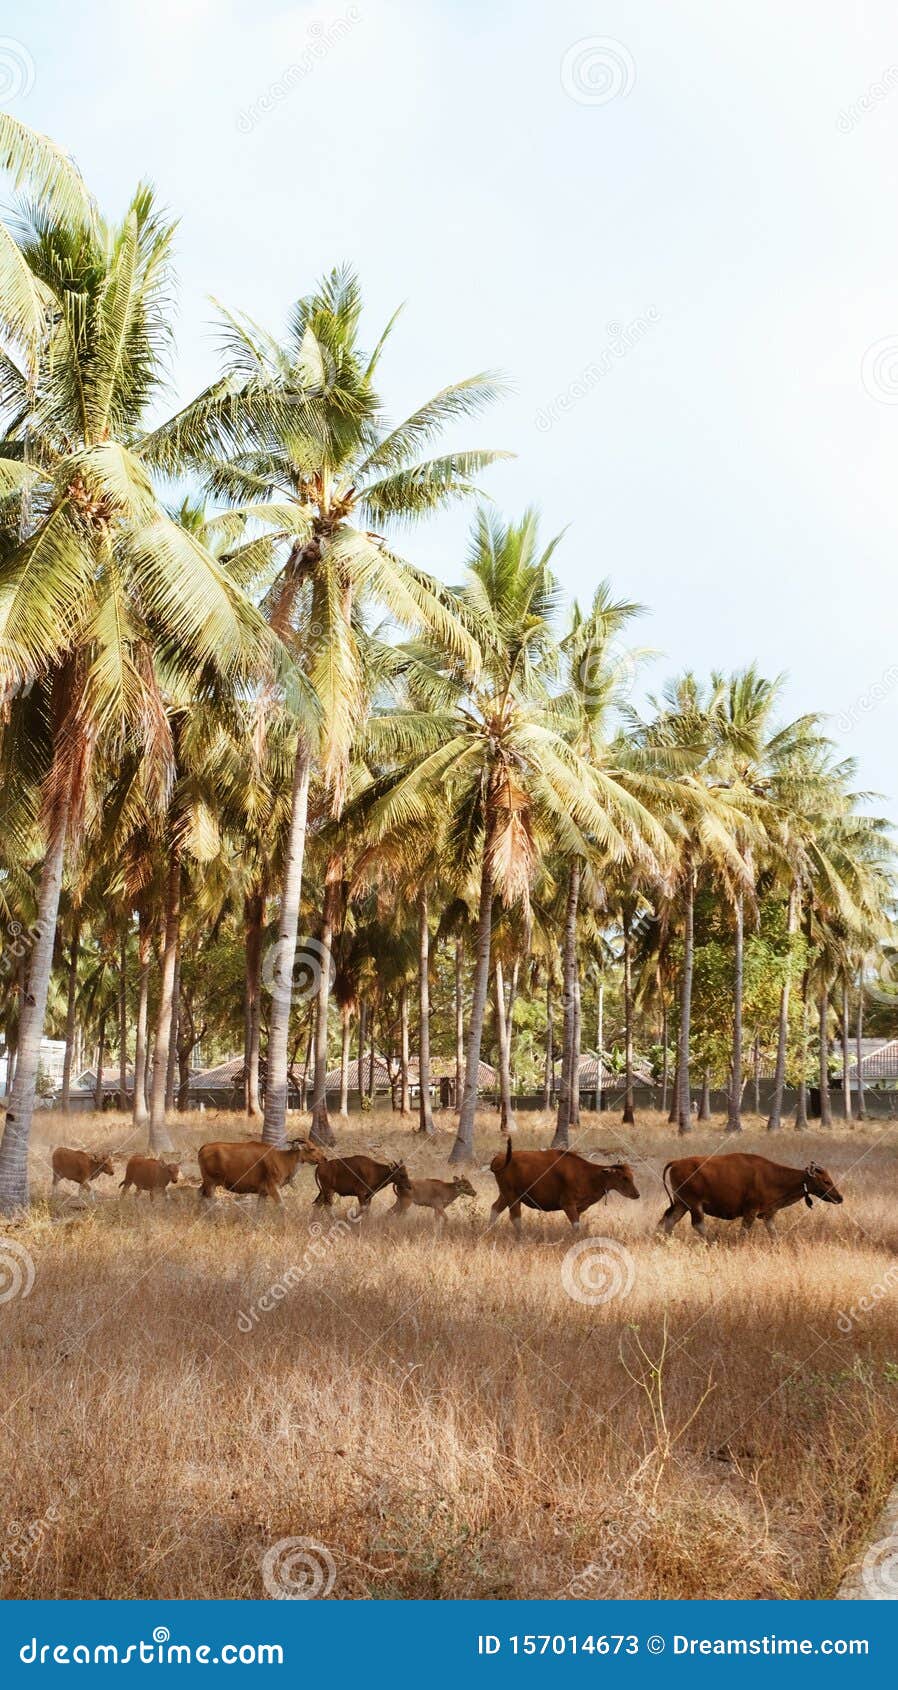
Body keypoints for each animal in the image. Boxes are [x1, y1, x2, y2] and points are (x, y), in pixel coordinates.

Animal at [489, 1140, 640, 1232]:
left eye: (632, 1176)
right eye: (624, 1178)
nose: (637, 1194)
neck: (588, 1175)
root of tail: (499, 1158)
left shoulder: (579, 1208)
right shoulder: (567, 1204)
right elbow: (576, 1226)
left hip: (505, 1194)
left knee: (495, 1208)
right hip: (513, 1196)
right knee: (515, 1218)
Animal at [659, 1152, 844, 1242]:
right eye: (826, 1181)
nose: (840, 1197)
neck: (772, 1176)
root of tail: (676, 1162)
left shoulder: (769, 1214)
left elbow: (774, 1234)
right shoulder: (750, 1211)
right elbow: (744, 1232)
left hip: (681, 1204)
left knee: (669, 1220)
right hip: (694, 1204)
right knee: (697, 1224)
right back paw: (713, 1241)